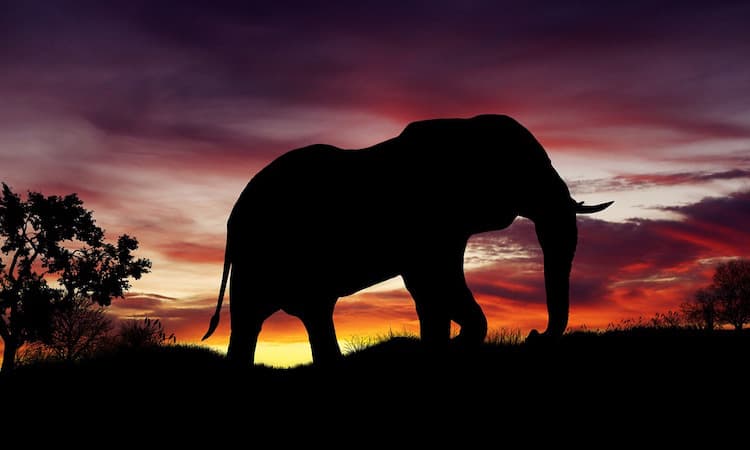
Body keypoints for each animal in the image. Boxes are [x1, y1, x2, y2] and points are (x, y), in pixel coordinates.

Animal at [202, 114, 612, 365]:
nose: (533, 336)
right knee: (257, 318)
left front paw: (444, 346)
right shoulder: (427, 222)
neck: (464, 127)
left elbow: (432, 288)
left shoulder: (446, 227)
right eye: (527, 167)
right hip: (260, 253)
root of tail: (233, 216)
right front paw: (452, 344)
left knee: (306, 313)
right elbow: (433, 283)